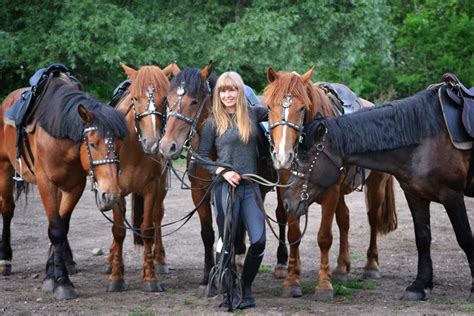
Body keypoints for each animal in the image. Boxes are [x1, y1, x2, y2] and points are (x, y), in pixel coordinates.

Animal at [0, 71, 128, 298]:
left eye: (120, 144)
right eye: (92, 144)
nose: (111, 194)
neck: (60, 136)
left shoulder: (74, 186)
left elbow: (62, 226)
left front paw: (53, 274)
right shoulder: (46, 184)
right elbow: (56, 230)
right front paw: (61, 282)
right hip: (5, 167)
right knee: (7, 210)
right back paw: (5, 259)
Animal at [105, 63, 180, 292]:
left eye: (165, 99)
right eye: (135, 98)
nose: (152, 142)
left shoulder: (152, 187)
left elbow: (147, 228)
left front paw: (150, 276)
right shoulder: (115, 190)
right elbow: (118, 230)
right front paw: (116, 277)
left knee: (157, 216)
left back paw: (160, 259)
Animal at [262, 66, 396, 298]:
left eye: (302, 108)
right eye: (270, 106)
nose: (283, 156)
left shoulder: (331, 193)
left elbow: (324, 237)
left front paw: (324, 285)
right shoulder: (290, 194)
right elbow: (294, 233)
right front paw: (292, 280)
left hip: (376, 185)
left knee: (373, 219)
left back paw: (371, 266)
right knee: (345, 219)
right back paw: (342, 268)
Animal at [284, 76, 474, 302]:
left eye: (305, 157)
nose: (287, 201)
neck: (424, 135)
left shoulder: (452, 196)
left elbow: (465, 238)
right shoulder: (415, 195)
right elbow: (422, 238)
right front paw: (419, 286)